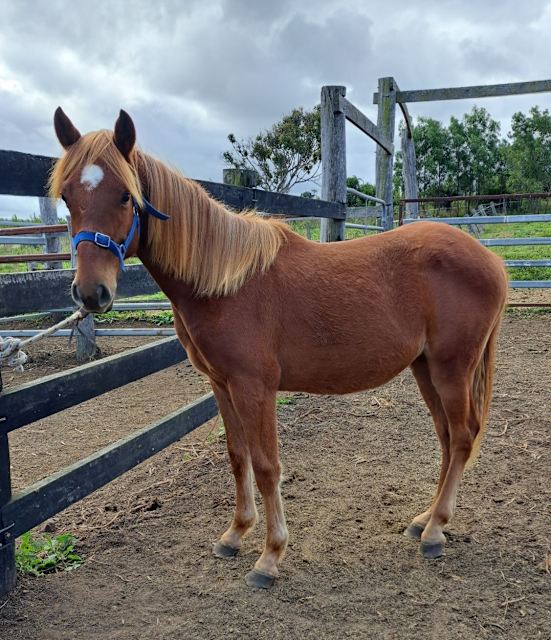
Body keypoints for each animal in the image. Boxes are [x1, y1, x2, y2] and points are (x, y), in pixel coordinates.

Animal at [50, 107, 508, 589]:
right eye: (67, 198)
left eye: (125, 196)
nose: (90, 293)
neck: (226, 283)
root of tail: (492, 261)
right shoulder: (221, 386)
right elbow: (238, 458)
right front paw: (235, 534)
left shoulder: (255, 388)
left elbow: (267, 465)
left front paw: (270, 556)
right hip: (425, 368)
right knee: (446, 438)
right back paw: (424, 519)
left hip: (452, 369)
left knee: (462, 437)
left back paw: (436, 530)